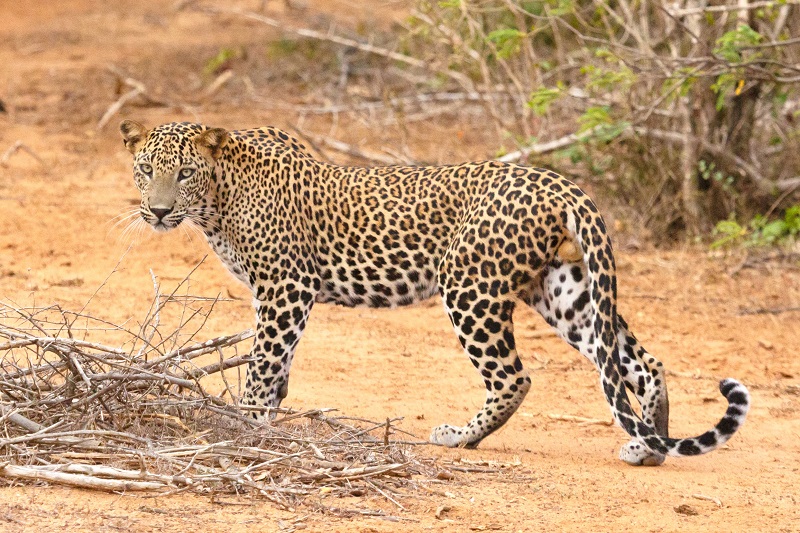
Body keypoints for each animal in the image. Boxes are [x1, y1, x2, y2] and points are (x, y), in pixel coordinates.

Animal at [119, 120, 750, 465]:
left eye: (184, 174)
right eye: (145, 170)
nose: (159, 211)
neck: (218, 200)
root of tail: (560, 182)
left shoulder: (285, 287)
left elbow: (263, 362)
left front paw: (245, 424)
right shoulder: (279, 294)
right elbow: (278, 367)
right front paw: (266, 419)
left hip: (469, 285)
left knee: (515, 377)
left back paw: (457, 438)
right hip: (563, 290)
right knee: (637, 362)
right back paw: (649, 445)